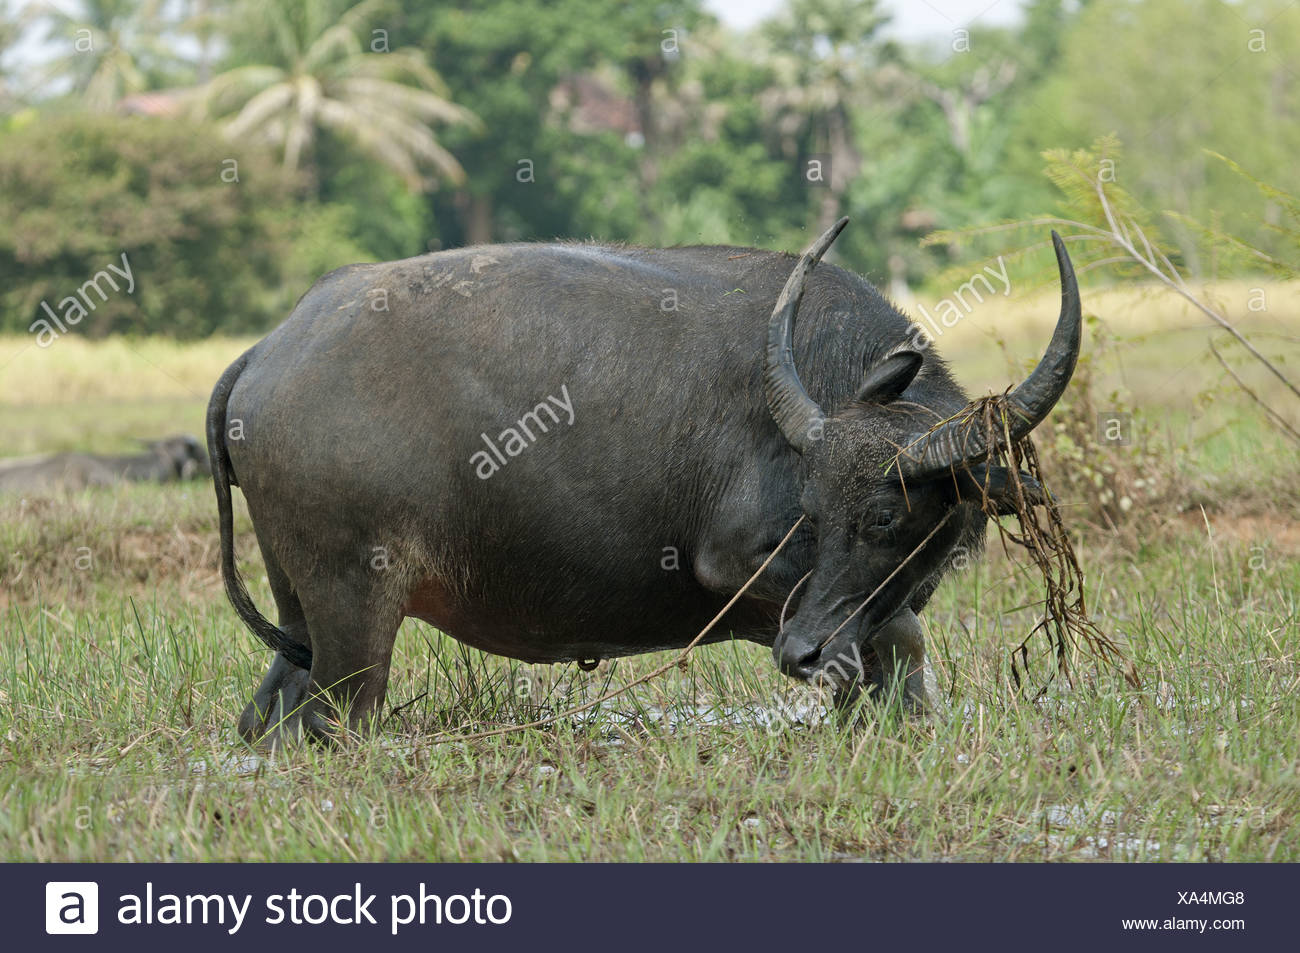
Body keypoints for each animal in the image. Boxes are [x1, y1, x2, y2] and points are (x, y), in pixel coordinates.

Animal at [209, 219, 1079, 745]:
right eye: (815, 509)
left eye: (887, 518)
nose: (801, 651)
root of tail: (272, 347)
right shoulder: (740, 568)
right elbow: (899, 639)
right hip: (356, 606)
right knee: (333, 719)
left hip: (301, 609)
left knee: (270, 710)